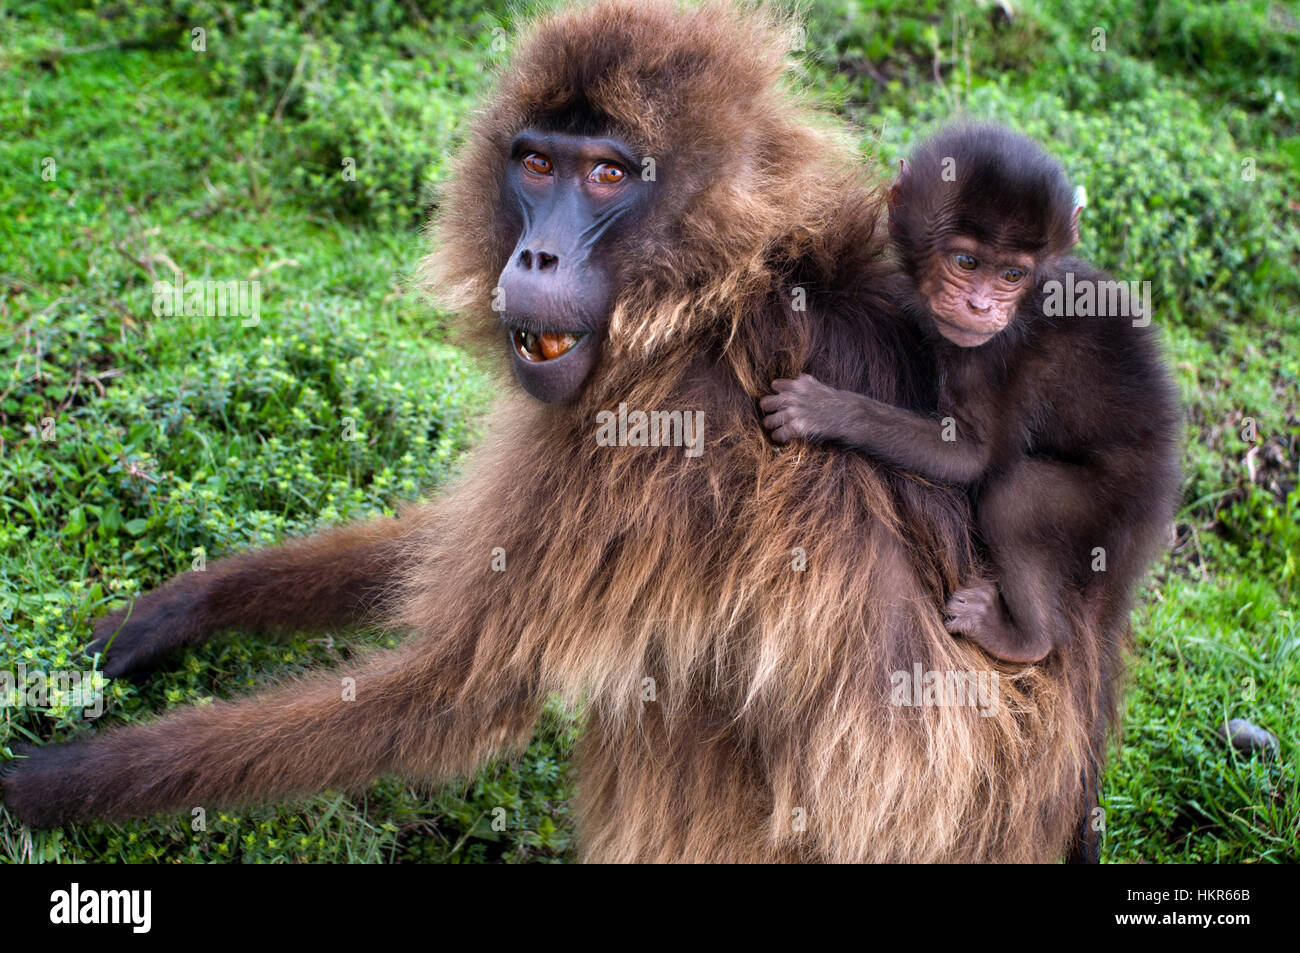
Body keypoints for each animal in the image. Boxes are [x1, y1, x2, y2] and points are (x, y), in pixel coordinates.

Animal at [2, 2, 1120, 863]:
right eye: (535, 162)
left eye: (609, 177)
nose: (535, 258)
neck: (721, 289)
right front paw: (175, 610)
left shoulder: (666, 428)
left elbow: (456, 695)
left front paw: (34, 784)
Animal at [761, 122, 1181, 670]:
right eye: (966, 261)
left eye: (1012, 275)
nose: (980, 307)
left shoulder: (988, 356)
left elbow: (972, 457)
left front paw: (823, 409)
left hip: (1110, 501)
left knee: (1015, 498)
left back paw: (1026, 638)